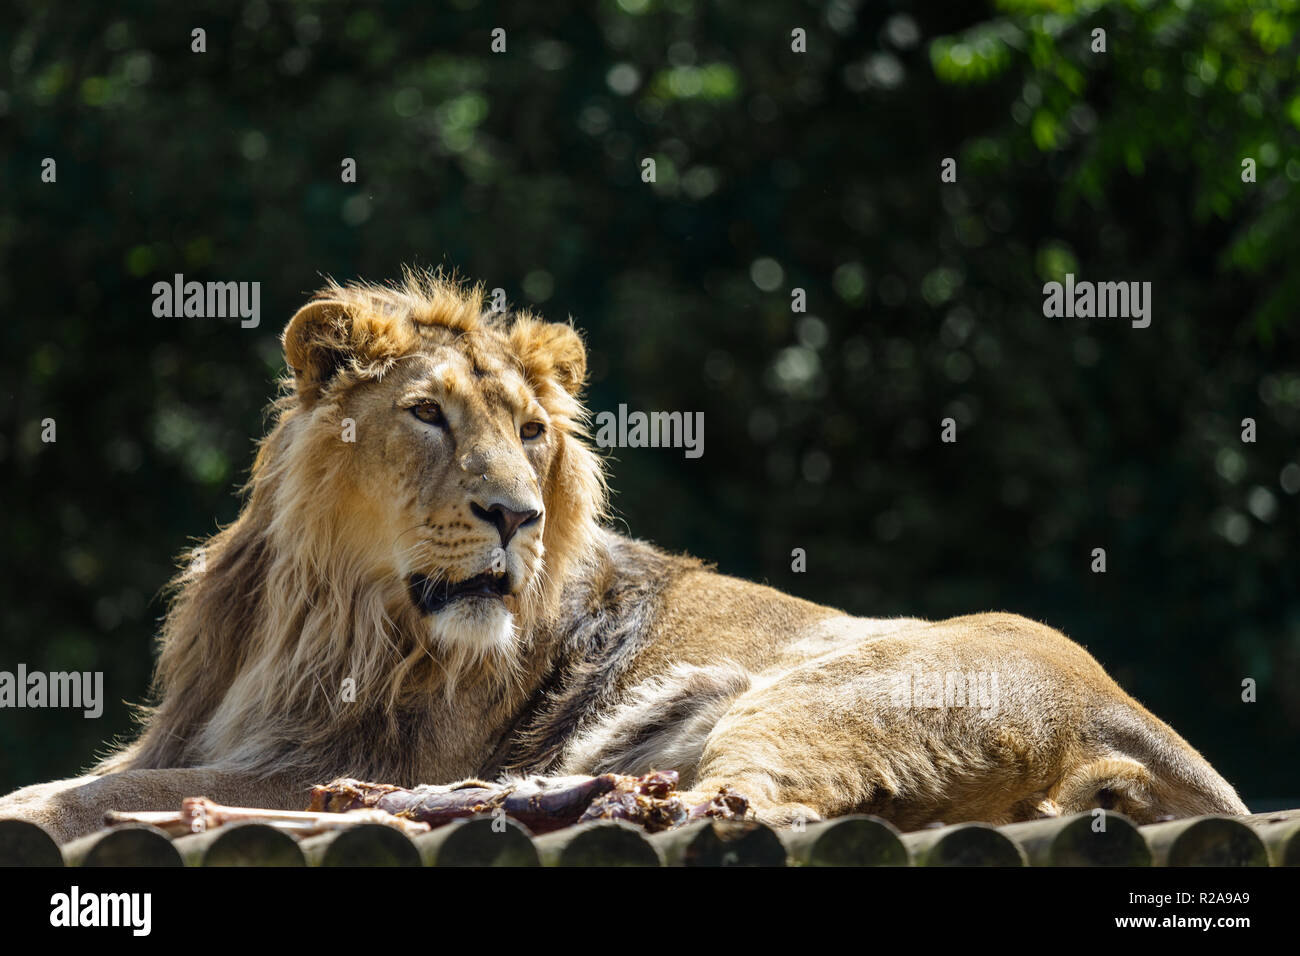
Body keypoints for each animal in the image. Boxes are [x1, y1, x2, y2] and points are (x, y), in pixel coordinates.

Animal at [0, 270, 1246, 843]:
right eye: (428, 416)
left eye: (531, 433)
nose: (513, 514)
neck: (317, 608)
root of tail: (1141, 732)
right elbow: (103, 775)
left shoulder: (338, 749)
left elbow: (91, 791)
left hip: (828, 692)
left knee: (735, 807)